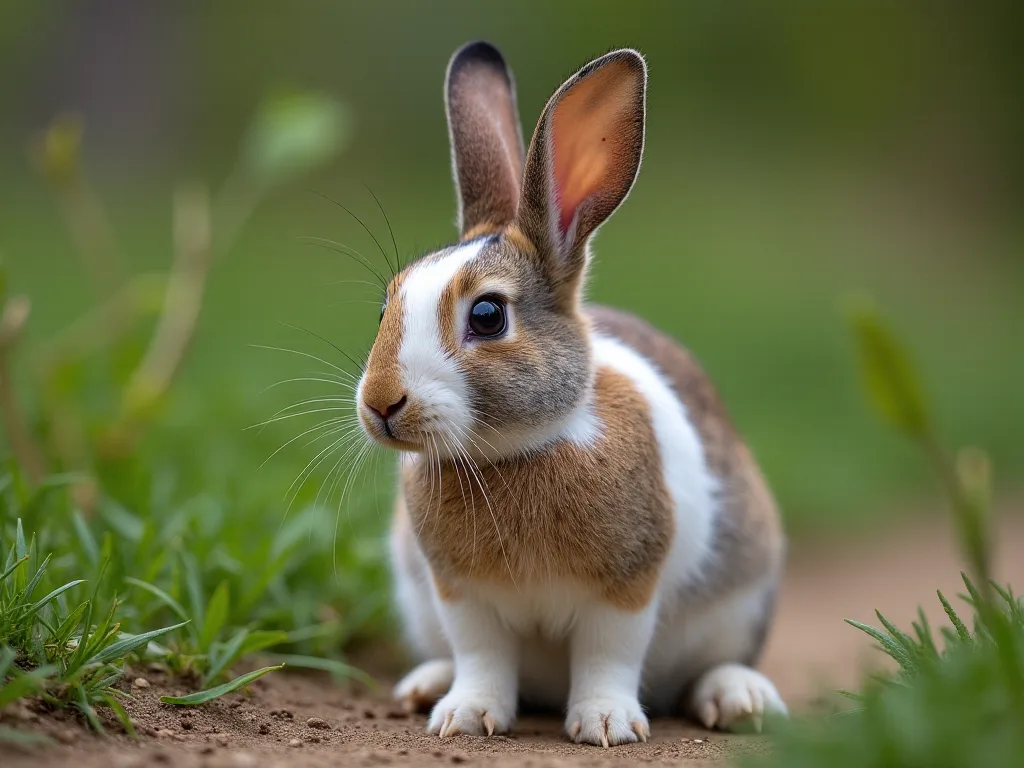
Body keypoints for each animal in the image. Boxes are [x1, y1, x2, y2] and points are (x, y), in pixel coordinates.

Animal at [355, 41, 787, 747]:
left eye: (487, 316)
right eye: (389, 303)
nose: (380, 404)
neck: (518, 451)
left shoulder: (627, 589)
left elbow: (609, 655)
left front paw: (606, 725)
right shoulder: (459, 596)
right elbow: (481, 655)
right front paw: (463, 717)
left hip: (744, 597)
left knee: (711, 665)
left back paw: (741, 699)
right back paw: (424, 686)